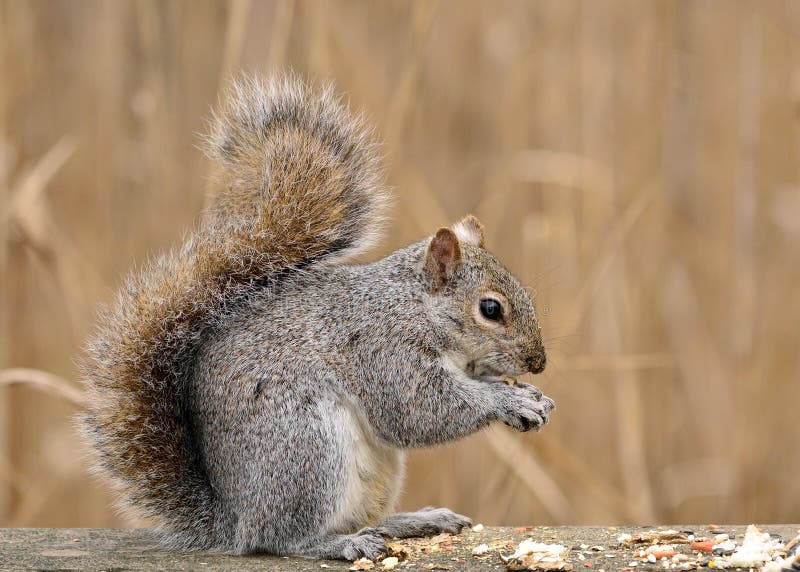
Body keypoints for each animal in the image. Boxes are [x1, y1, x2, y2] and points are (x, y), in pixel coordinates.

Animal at [79, 74, 554, 560]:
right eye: (491, 309)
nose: (538, 363)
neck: (413, 305)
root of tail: (233, 520)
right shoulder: (384, 349)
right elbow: (420, 410)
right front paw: (508, 401)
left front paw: (530, 395)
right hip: (306, 446)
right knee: (285, 538)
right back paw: (341, 543)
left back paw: (411, 521)